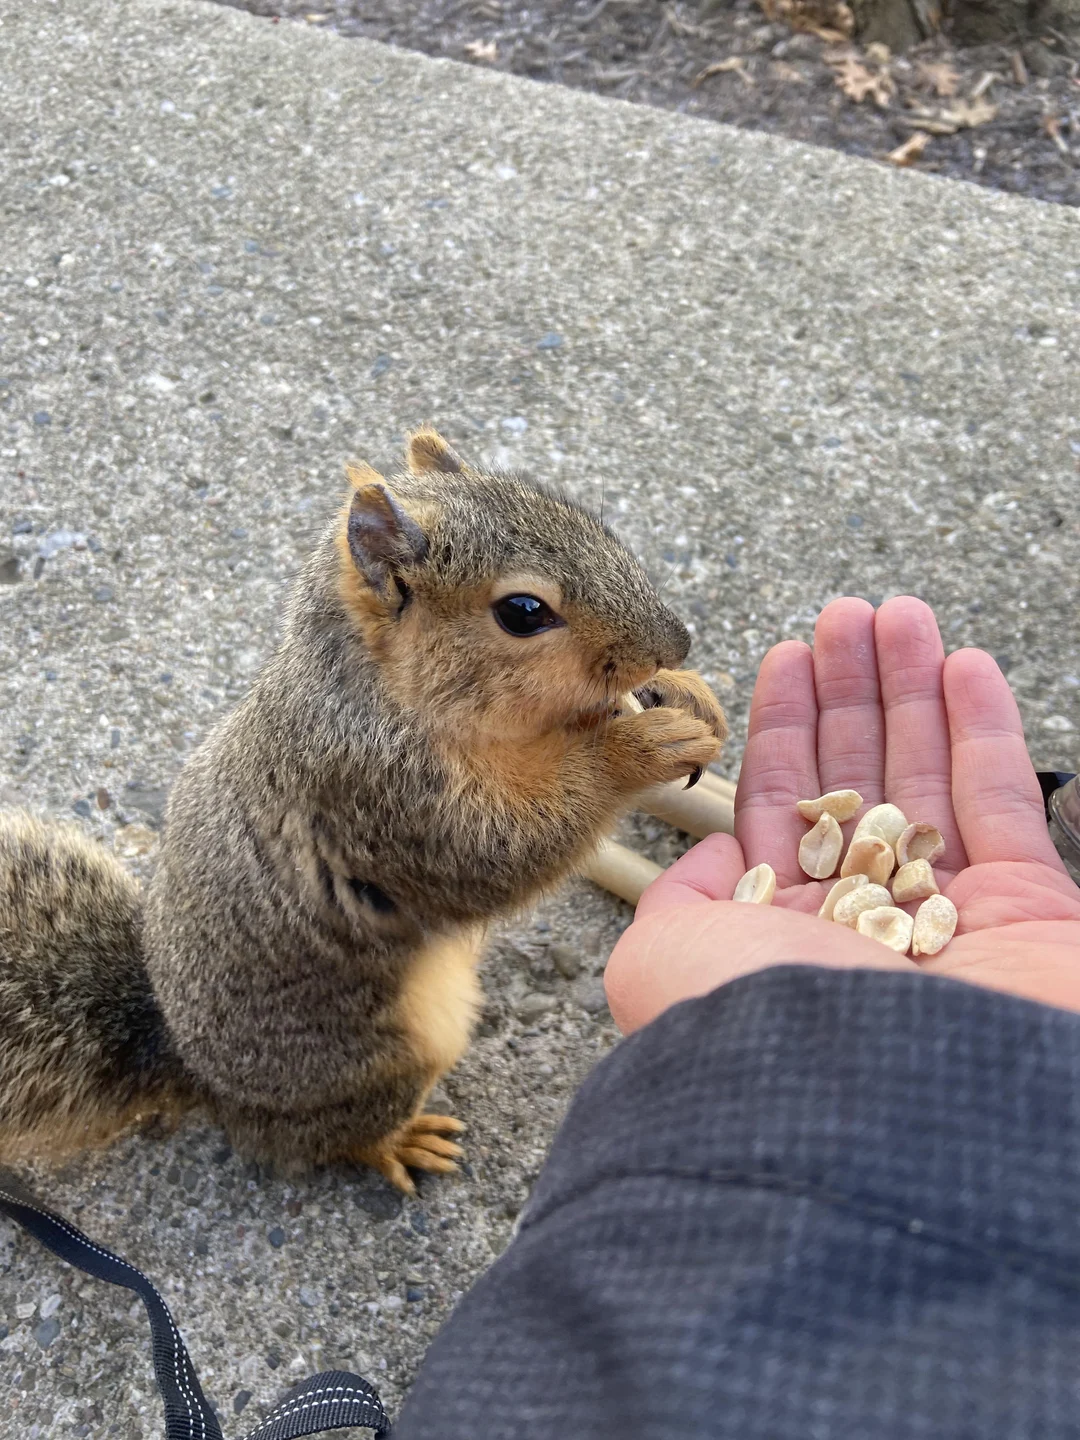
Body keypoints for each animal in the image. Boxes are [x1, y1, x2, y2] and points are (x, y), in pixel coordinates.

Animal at [0, 428, 726, 1193]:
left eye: (593, 526)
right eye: (524, 612)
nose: (676, 644)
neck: (380, 692)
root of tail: (201, 1076)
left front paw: (688, 691)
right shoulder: (384, 795)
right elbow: (499, 856)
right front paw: (637, 748)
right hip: (373, 1065)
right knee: (330, 1139)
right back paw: (400, 1143)